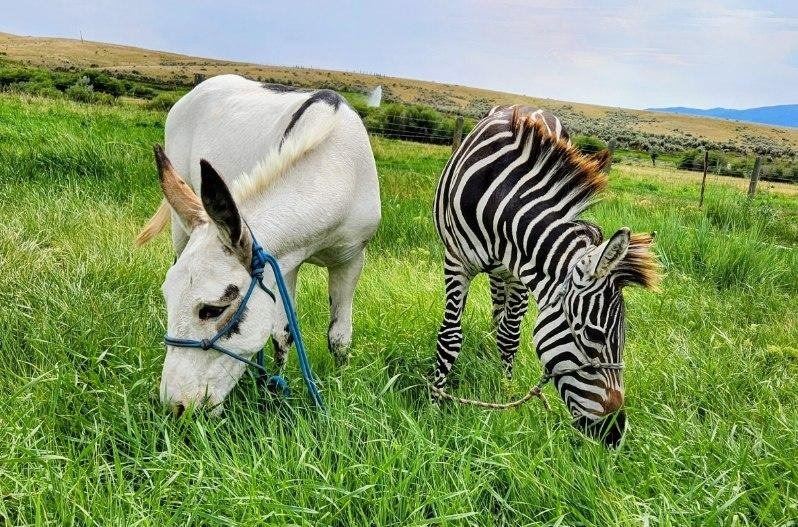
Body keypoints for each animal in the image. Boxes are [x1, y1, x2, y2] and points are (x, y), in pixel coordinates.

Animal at [432, 105, 660, 446]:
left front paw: (505, 392)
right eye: (593, 336)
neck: (504, 199)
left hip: (506, 274)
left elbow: (510, 337)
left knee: (501, 316)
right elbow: (449, 336)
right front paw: (433, 400)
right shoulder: (456, 262)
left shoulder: (520, 270)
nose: (615, 434)